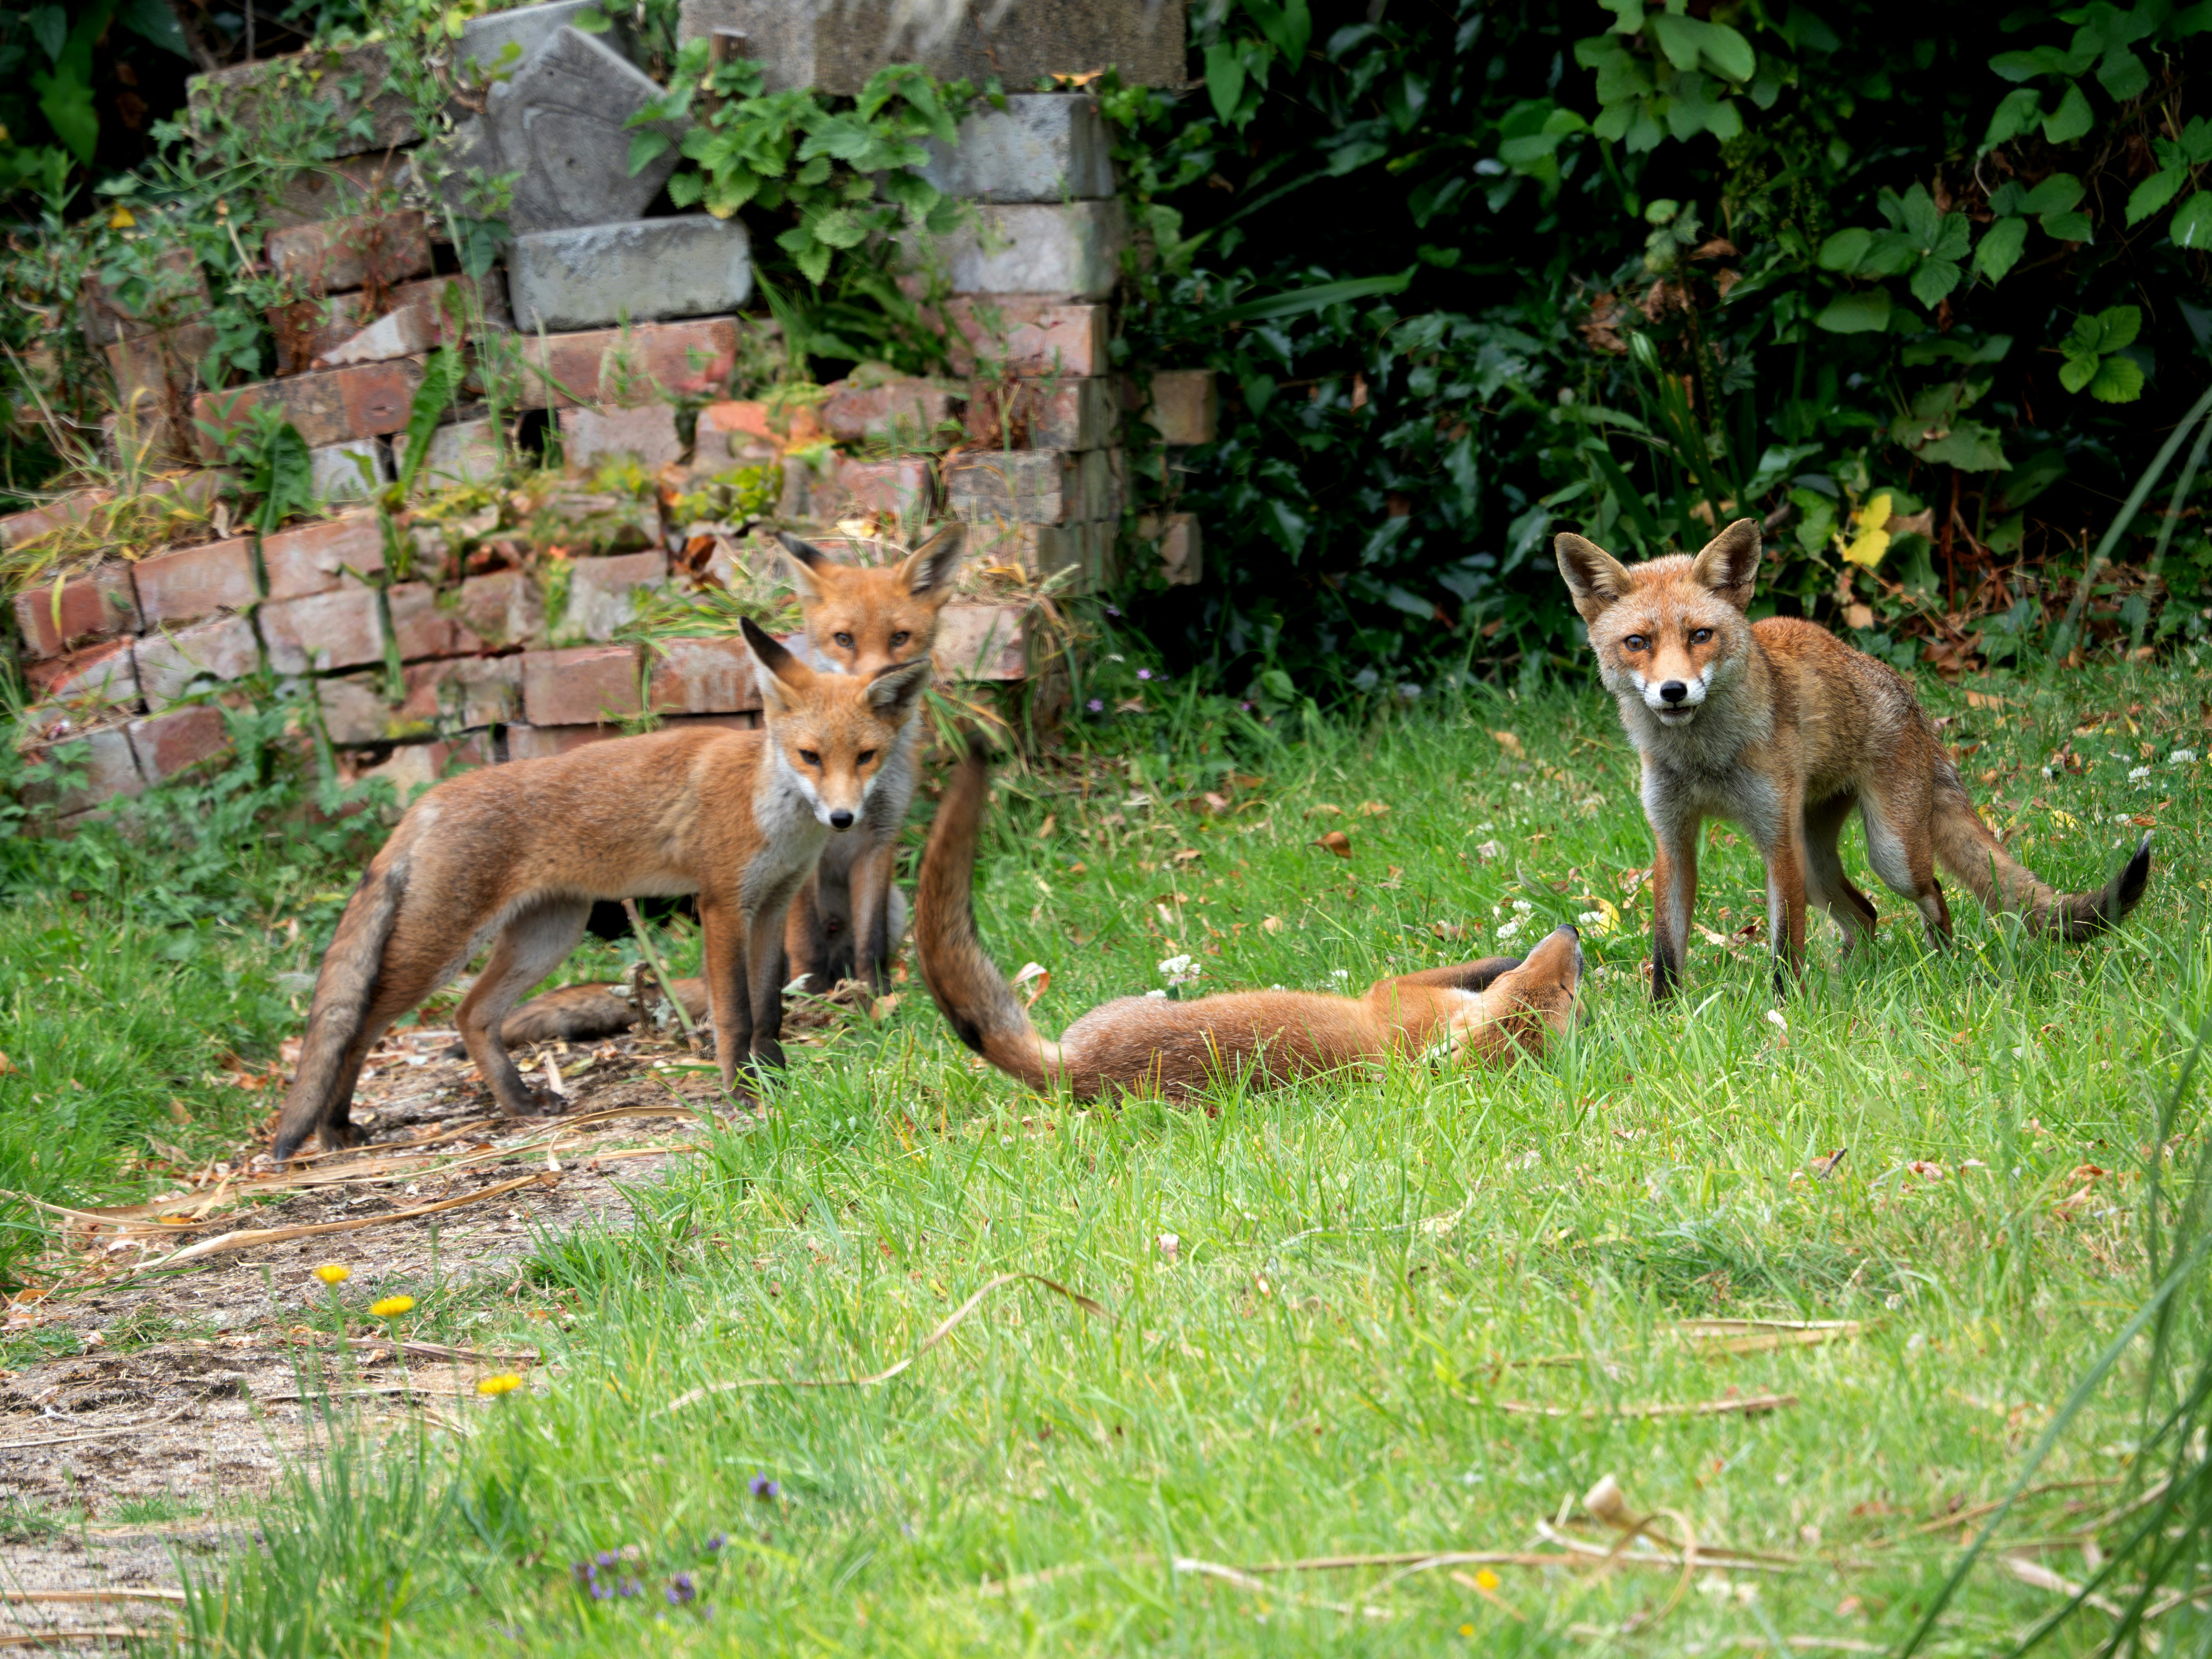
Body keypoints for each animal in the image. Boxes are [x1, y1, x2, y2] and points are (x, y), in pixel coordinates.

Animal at [268, 618, 933, 1162]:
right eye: (810, 756)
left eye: (866, 756)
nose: (844, 819)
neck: (770, 809)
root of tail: (426, 802)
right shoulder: (721, 905)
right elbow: (736, 1014)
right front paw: (741, 1092)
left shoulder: (772, 905)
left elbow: (769, 1008)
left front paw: (775, 1079)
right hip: (441, 948)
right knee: (359, 1028)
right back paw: (334, 1128)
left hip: (548, 937)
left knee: (471, 1014)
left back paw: (520, 1104)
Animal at [494, 526, 963, 1048]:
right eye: (844, 639)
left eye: (900, 638)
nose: (873, 686)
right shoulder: (798, 865)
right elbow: (805, 943)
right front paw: (815, 1003)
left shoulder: (879, 841)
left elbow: (872, 943)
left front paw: (879, 1003)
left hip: (897, 903)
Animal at [1554, 517, 2153, 1000]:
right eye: (1638, 643)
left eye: (1701, 635)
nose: (1674, 692)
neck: (1705, 761)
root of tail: (1906, 693)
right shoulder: (1673, 839)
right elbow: (1666, 952)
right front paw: (1666, 1018)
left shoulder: (1776, 840)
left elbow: (1784, 945)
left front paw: (1784, 1013)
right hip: (1818, 864)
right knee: (1865, 916)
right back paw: (1850, 980)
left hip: (1888, 853)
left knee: (1932, 894)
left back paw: (1942, 966)